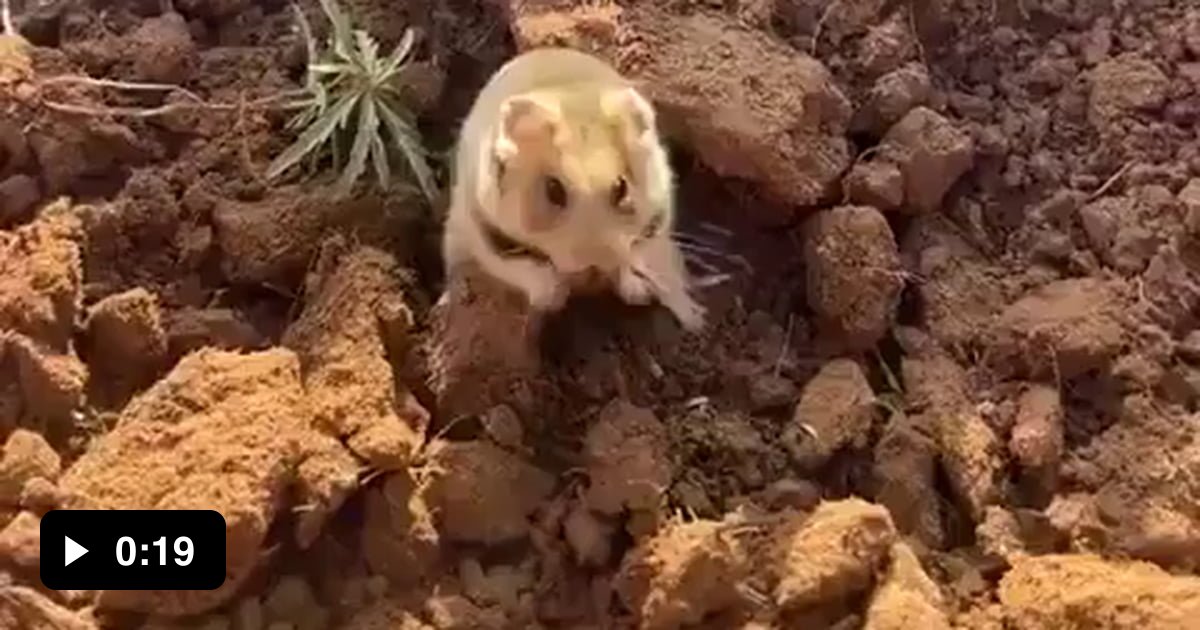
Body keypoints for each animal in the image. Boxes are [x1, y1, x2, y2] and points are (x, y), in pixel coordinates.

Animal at [442, 47, 705, 331]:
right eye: (553, 190)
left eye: (621, 187)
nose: (595, 269)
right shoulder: (480, 227)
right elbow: (518, 265)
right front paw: (553, 298)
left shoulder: (660, 212)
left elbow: (635, 253)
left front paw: (640, 292)